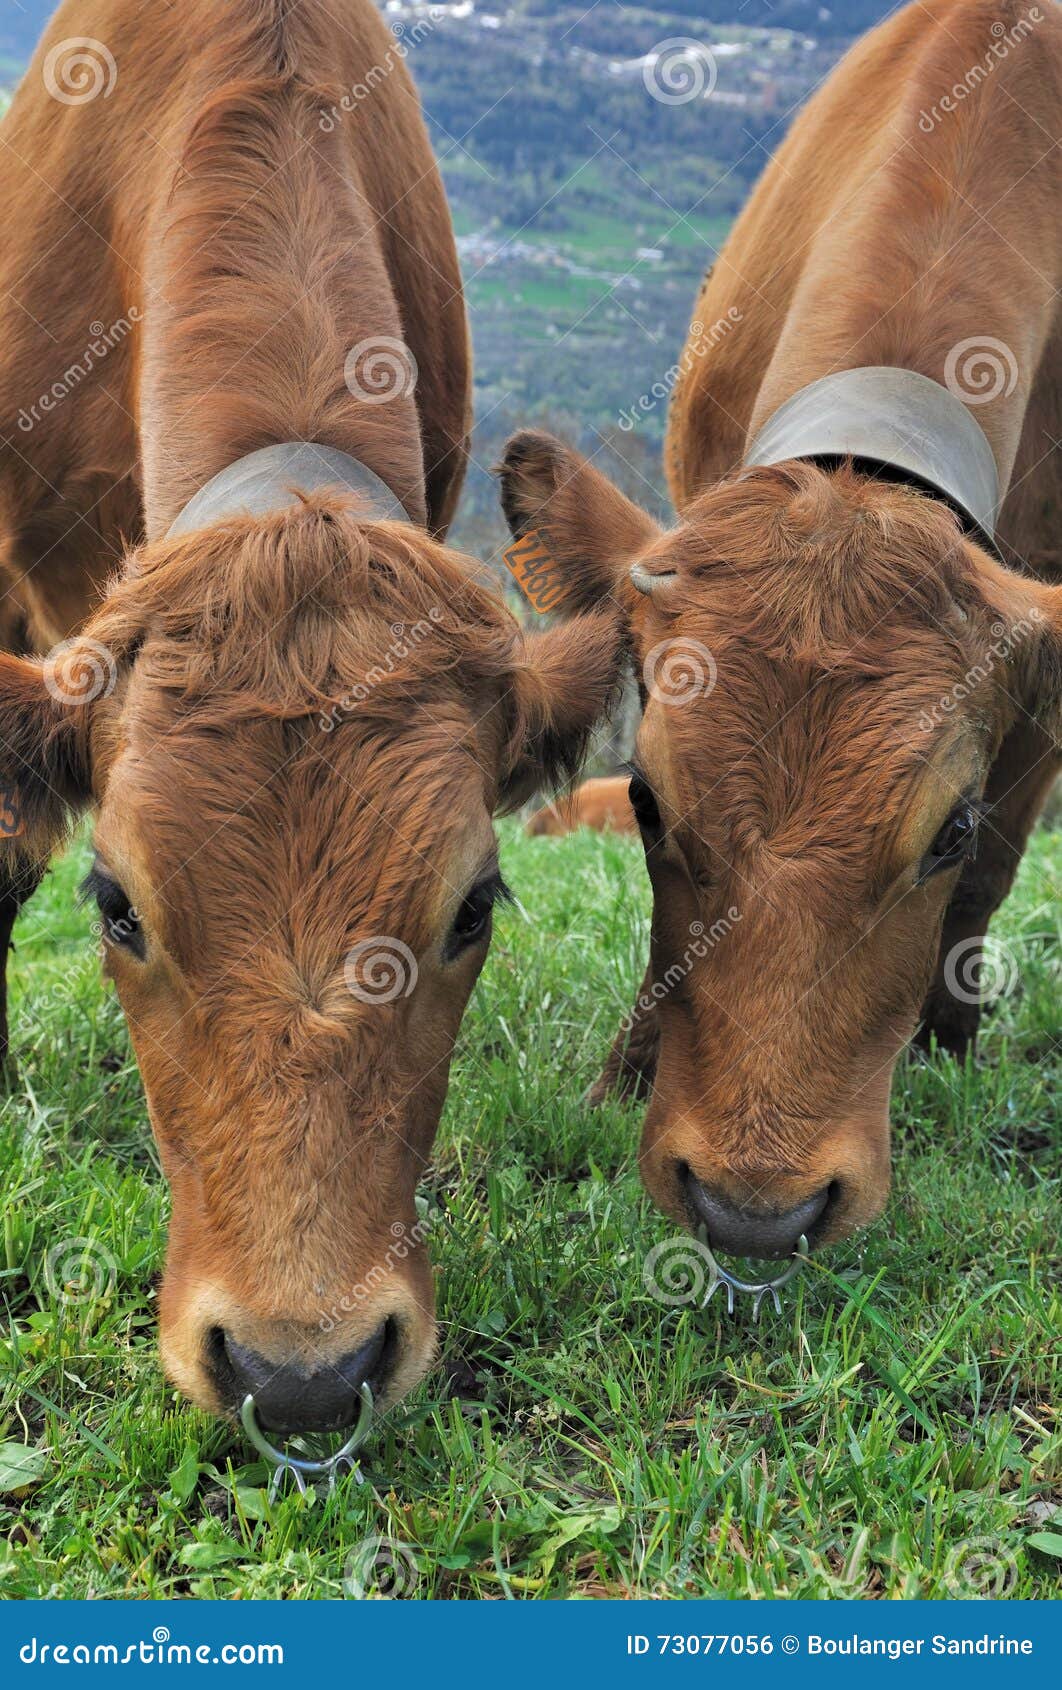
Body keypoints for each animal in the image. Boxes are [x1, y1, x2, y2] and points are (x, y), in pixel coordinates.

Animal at [498, 0, 1062, 1266]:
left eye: (945, 831)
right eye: (647, 800)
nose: (756, 1208)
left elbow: (997, 873)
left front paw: (948, 1048)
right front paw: (627, 1071)